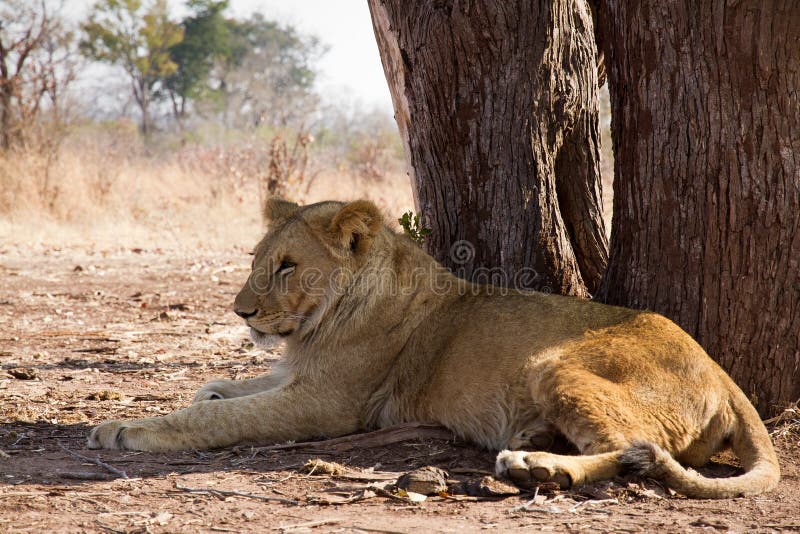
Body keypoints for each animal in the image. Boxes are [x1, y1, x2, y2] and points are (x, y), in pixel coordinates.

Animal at [89, 198, 780, 499]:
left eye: (287, 266)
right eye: (260, 259)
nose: (241, 312)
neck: (319, 327)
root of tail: (721, 373)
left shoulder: (328, 403)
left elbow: (225, 416)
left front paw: (126, 428)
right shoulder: (302, 374)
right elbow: (235, 387)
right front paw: (207, 387)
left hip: (553, 364)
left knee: (635, 449)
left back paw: (536, 466)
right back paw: (533, 446)